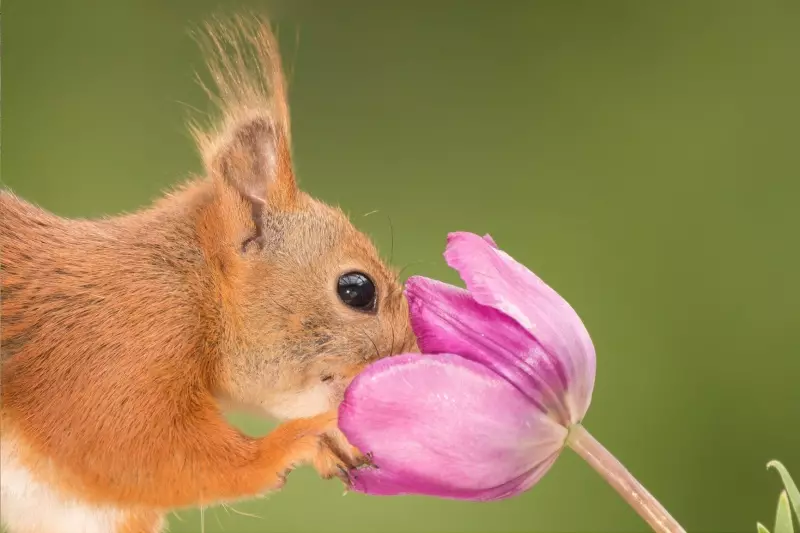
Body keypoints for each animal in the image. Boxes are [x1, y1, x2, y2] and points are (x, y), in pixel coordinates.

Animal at [0, 12, 416, 532]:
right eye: (357, 289)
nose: (410, 356)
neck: (193, 286)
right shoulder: (113, 352)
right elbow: (144, 453)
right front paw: (302, 441)